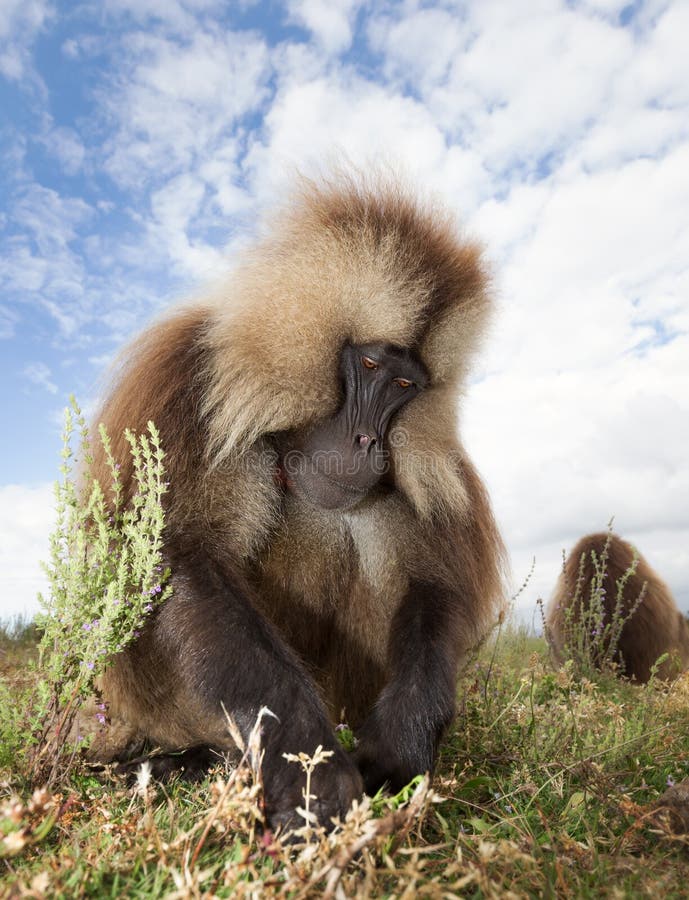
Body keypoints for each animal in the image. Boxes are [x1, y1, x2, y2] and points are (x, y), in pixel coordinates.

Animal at [88, 175, 507, 832]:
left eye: (405, 385)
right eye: (368, 363)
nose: (368, 442)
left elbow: (430, 581)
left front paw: (401, 746)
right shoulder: (190, 388)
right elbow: (181, 554)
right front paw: (308, 768)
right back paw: (200, 759)